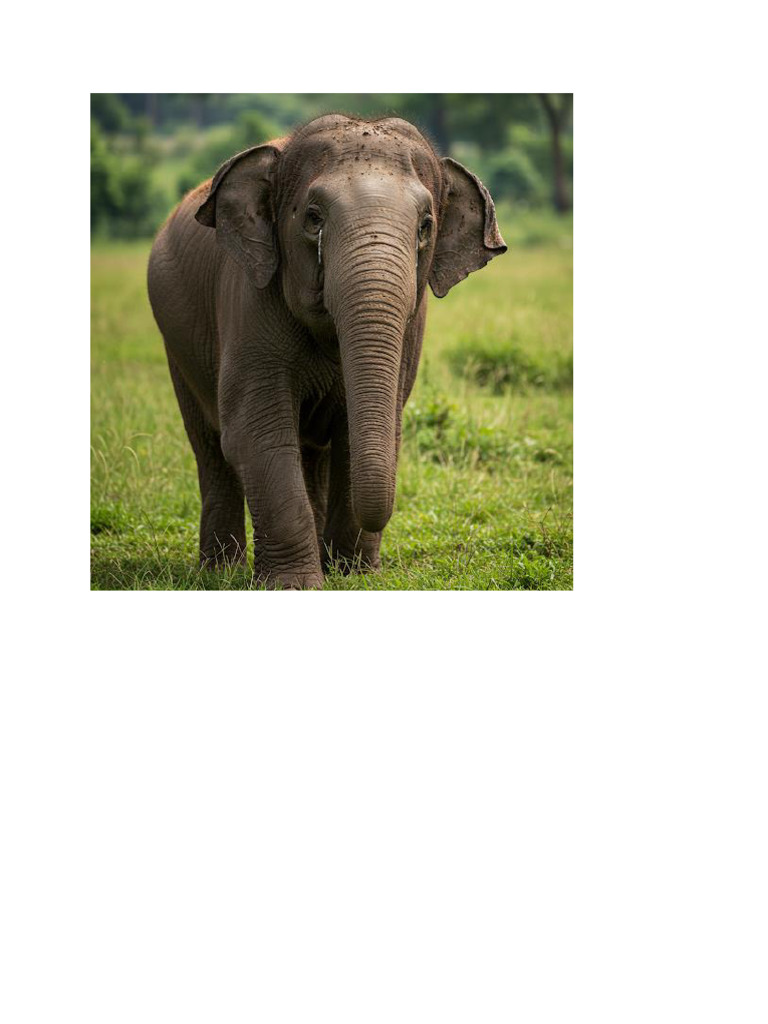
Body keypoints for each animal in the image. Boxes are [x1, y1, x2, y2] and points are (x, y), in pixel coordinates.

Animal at [147, 114, 506, 589]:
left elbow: (364, 432)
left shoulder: (413, 324)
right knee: (210, 446)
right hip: (177, 344)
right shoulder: (250, 298)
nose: (360, 564)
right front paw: (296, 585)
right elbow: (255, 430)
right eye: (313, 218)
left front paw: (355, 577)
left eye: (426, 225)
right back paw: (220, 571)